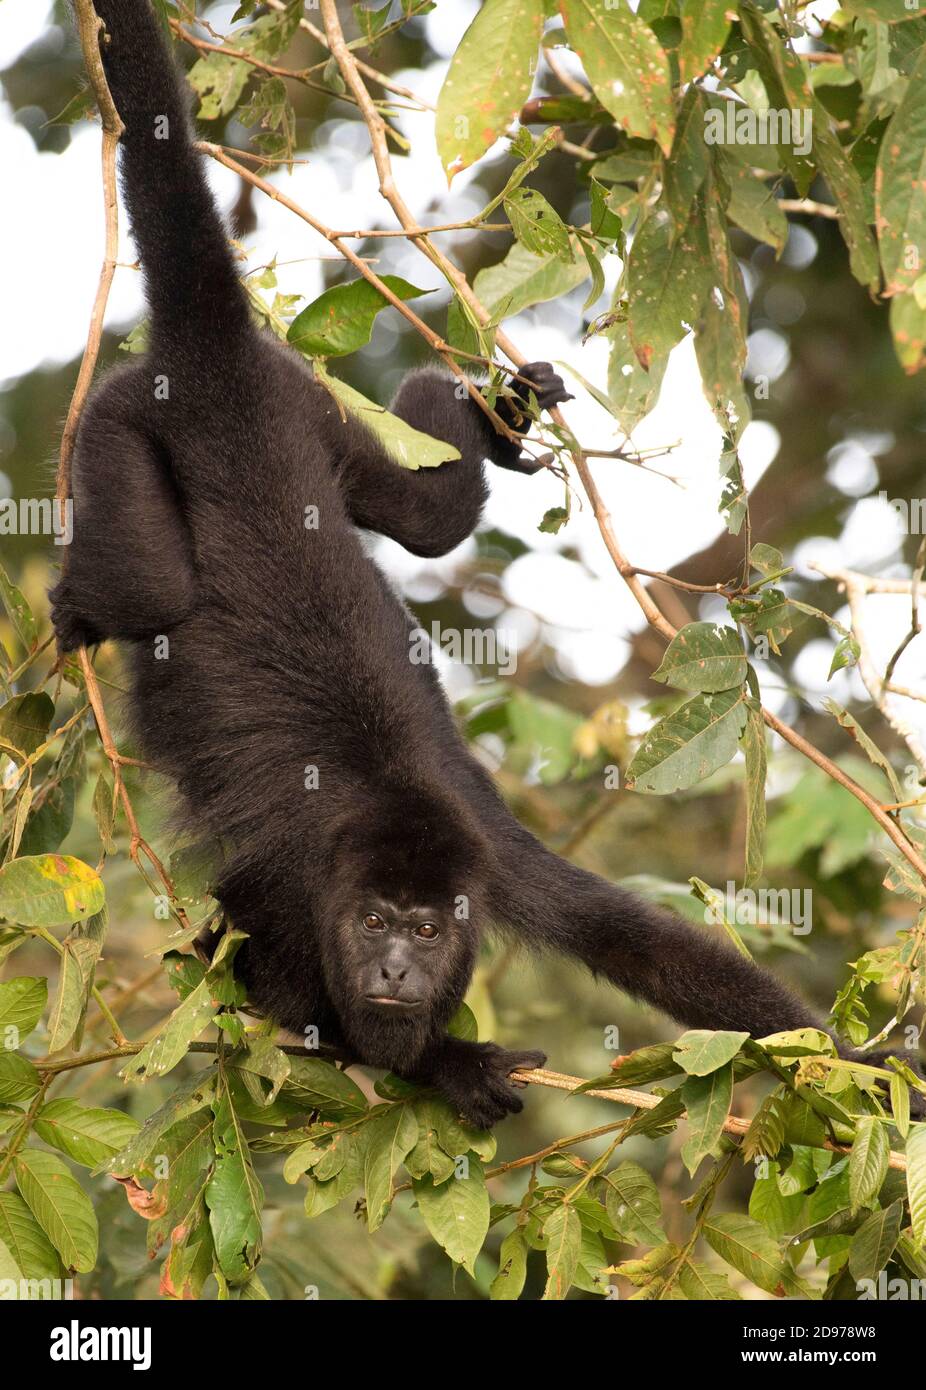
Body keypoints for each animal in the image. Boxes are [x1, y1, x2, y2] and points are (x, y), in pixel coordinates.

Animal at [51, 0, 922, 1129]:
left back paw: (476, 412)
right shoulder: (287, 883)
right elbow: (253, 970)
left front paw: (859, 1063)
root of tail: (224, 366)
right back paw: (78, 608)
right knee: (152, 586)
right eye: (375, 922)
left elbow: (643, 945)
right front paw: (452, 1062)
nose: (396, 972)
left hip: (315, 409)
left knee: (427, 517)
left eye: (428, 930)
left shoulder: (496, 864)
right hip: (125, 414)